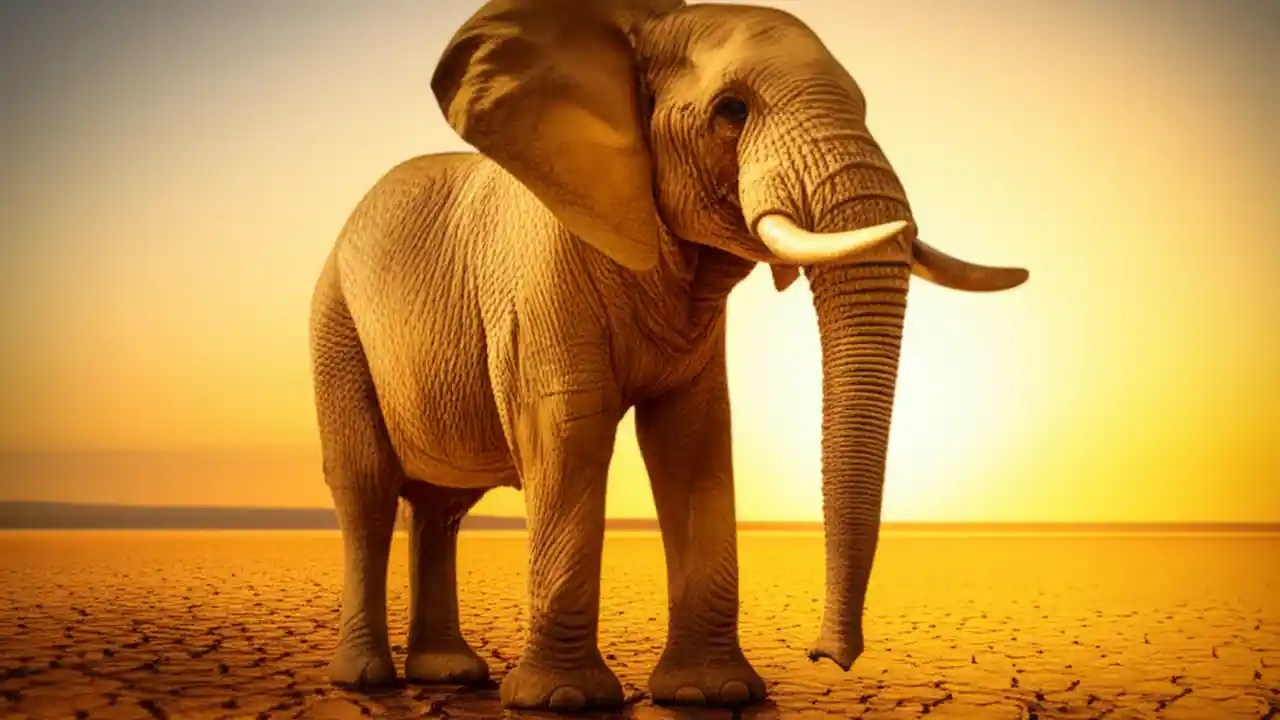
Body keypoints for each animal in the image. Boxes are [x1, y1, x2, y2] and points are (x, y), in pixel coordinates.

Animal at [308, 0, 1028, 712]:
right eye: (732, 110)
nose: (828, 656)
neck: (640, 24)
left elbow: (692, 436)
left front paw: (713, 691)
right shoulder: (537, 280)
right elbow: (569, 433)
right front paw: (563, 699)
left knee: (440, 508)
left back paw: (451, 675)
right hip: (335, 322)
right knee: (367, 488)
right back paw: (366, 680)